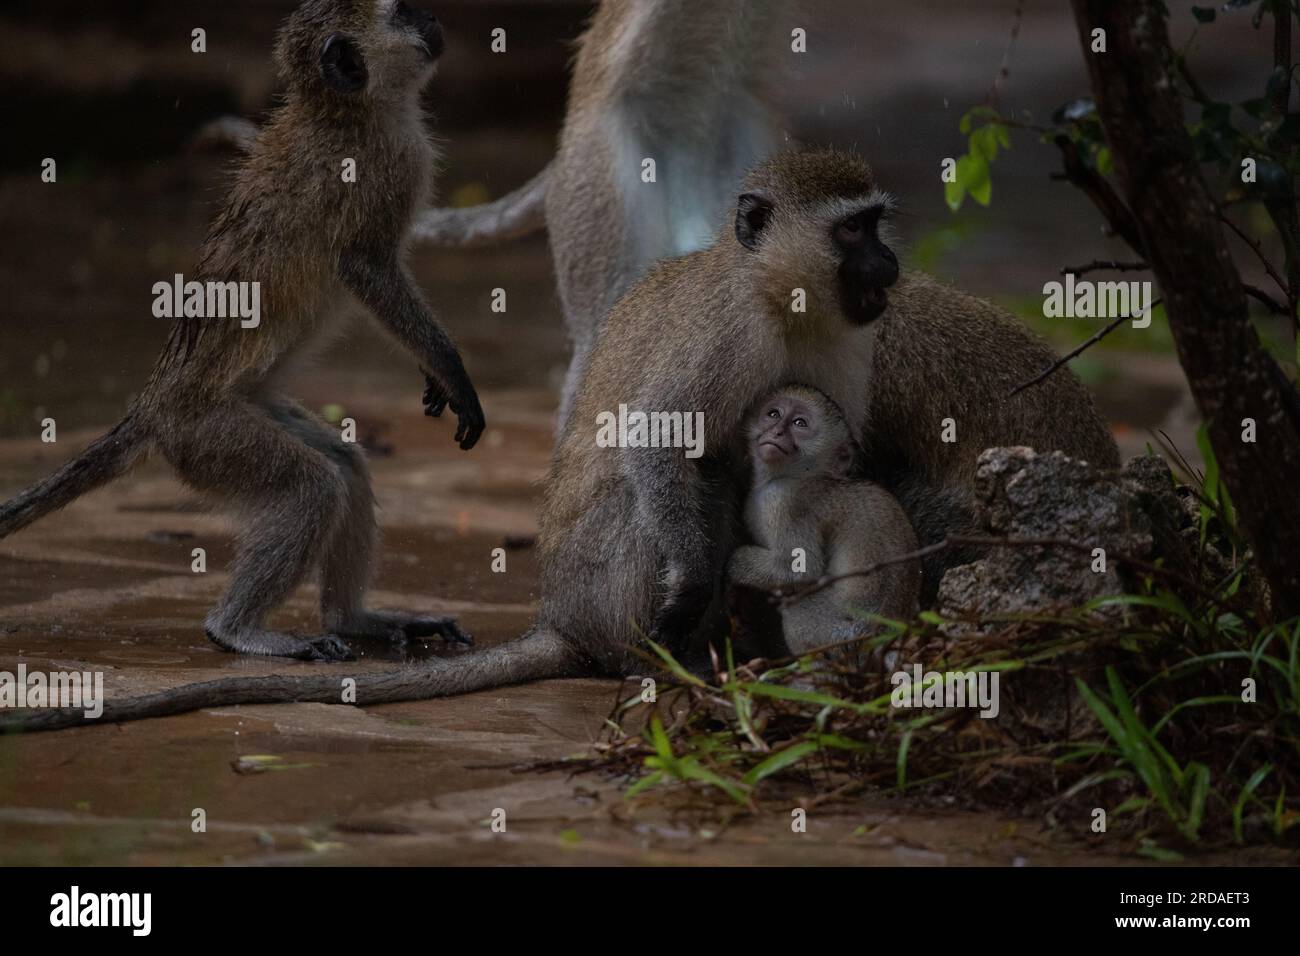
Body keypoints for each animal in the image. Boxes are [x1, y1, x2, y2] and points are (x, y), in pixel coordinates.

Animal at [0, 0, 484, 663]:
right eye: (404, 12)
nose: (435, 19)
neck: (346, 111)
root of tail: (154, 405)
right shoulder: (387, 169)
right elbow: (370, 272)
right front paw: (453, 372)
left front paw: (435, 376)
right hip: (206, 437)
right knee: (311, 486)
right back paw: (235, 630)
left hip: (243, 413)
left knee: (344, 465)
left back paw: (352, 618)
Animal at [727, 385, 920, 662]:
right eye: (773, 414)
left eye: (799, 423)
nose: (776, 432)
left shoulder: (786, 502)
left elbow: (799, 569)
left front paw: (733, 568)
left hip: (841, 634)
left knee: (798, 610)